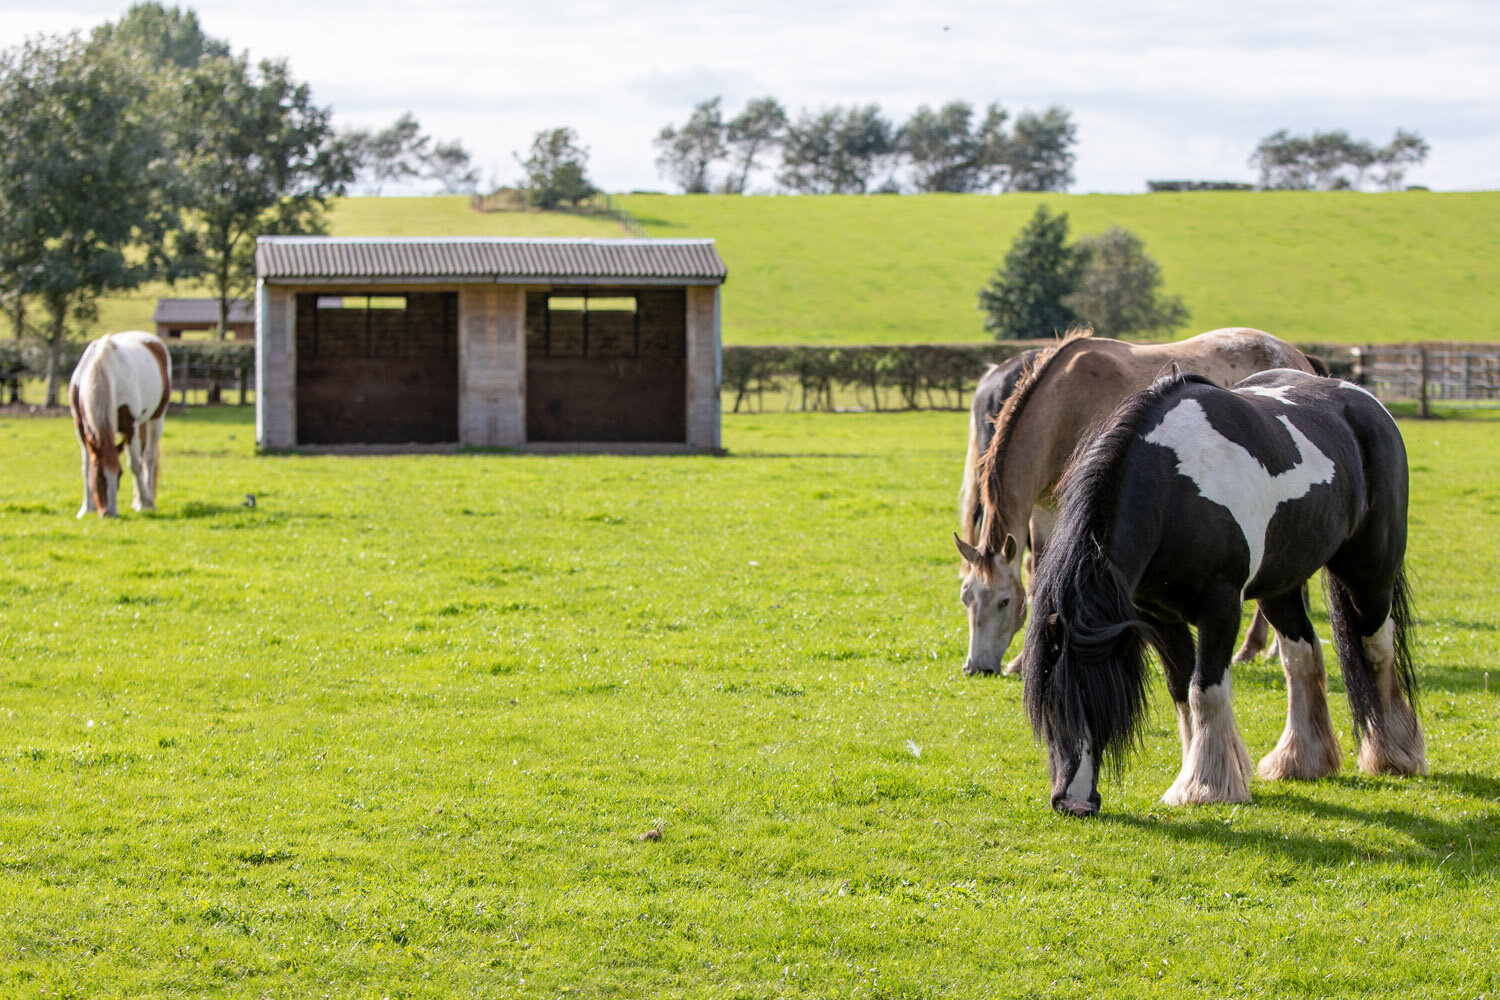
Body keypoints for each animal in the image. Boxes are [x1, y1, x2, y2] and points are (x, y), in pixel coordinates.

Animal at [69, 330, 171, 518]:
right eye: (98, 476)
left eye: (119, 474)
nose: (109, 514)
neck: (101, 368)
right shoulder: (79, 424)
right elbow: (85, 465)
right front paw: (86, 508)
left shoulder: (130, 427)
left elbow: (135, 465)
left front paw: (145, 503)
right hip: (141, 424)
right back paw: (137, 500)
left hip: (156, 418)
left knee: (149, 457)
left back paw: (147, 500)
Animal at [957, 328, 1326, 676]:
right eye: (966, 597)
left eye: (1004, 602)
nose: (977, 667)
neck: (1063, 404)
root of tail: (1299, 357)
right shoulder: (1043, 508)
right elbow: (1037, 575)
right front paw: (1023, 660)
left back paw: (1260, 647)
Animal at [1020, 368, 1423, 817]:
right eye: (1050, 706)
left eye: (1107, 704)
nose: (1073, 802)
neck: (1174, 489)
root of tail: (1366, 403)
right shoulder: (1155, 615)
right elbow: (1181, 690)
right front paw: (1207, 771)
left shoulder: (1222, 605)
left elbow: (1205, 690)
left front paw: (1206, 786)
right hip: (1281, 587)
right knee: (1301, 657)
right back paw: (1300, 761)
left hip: (1371, 576)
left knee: (1377, 648)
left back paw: (1393, 753)